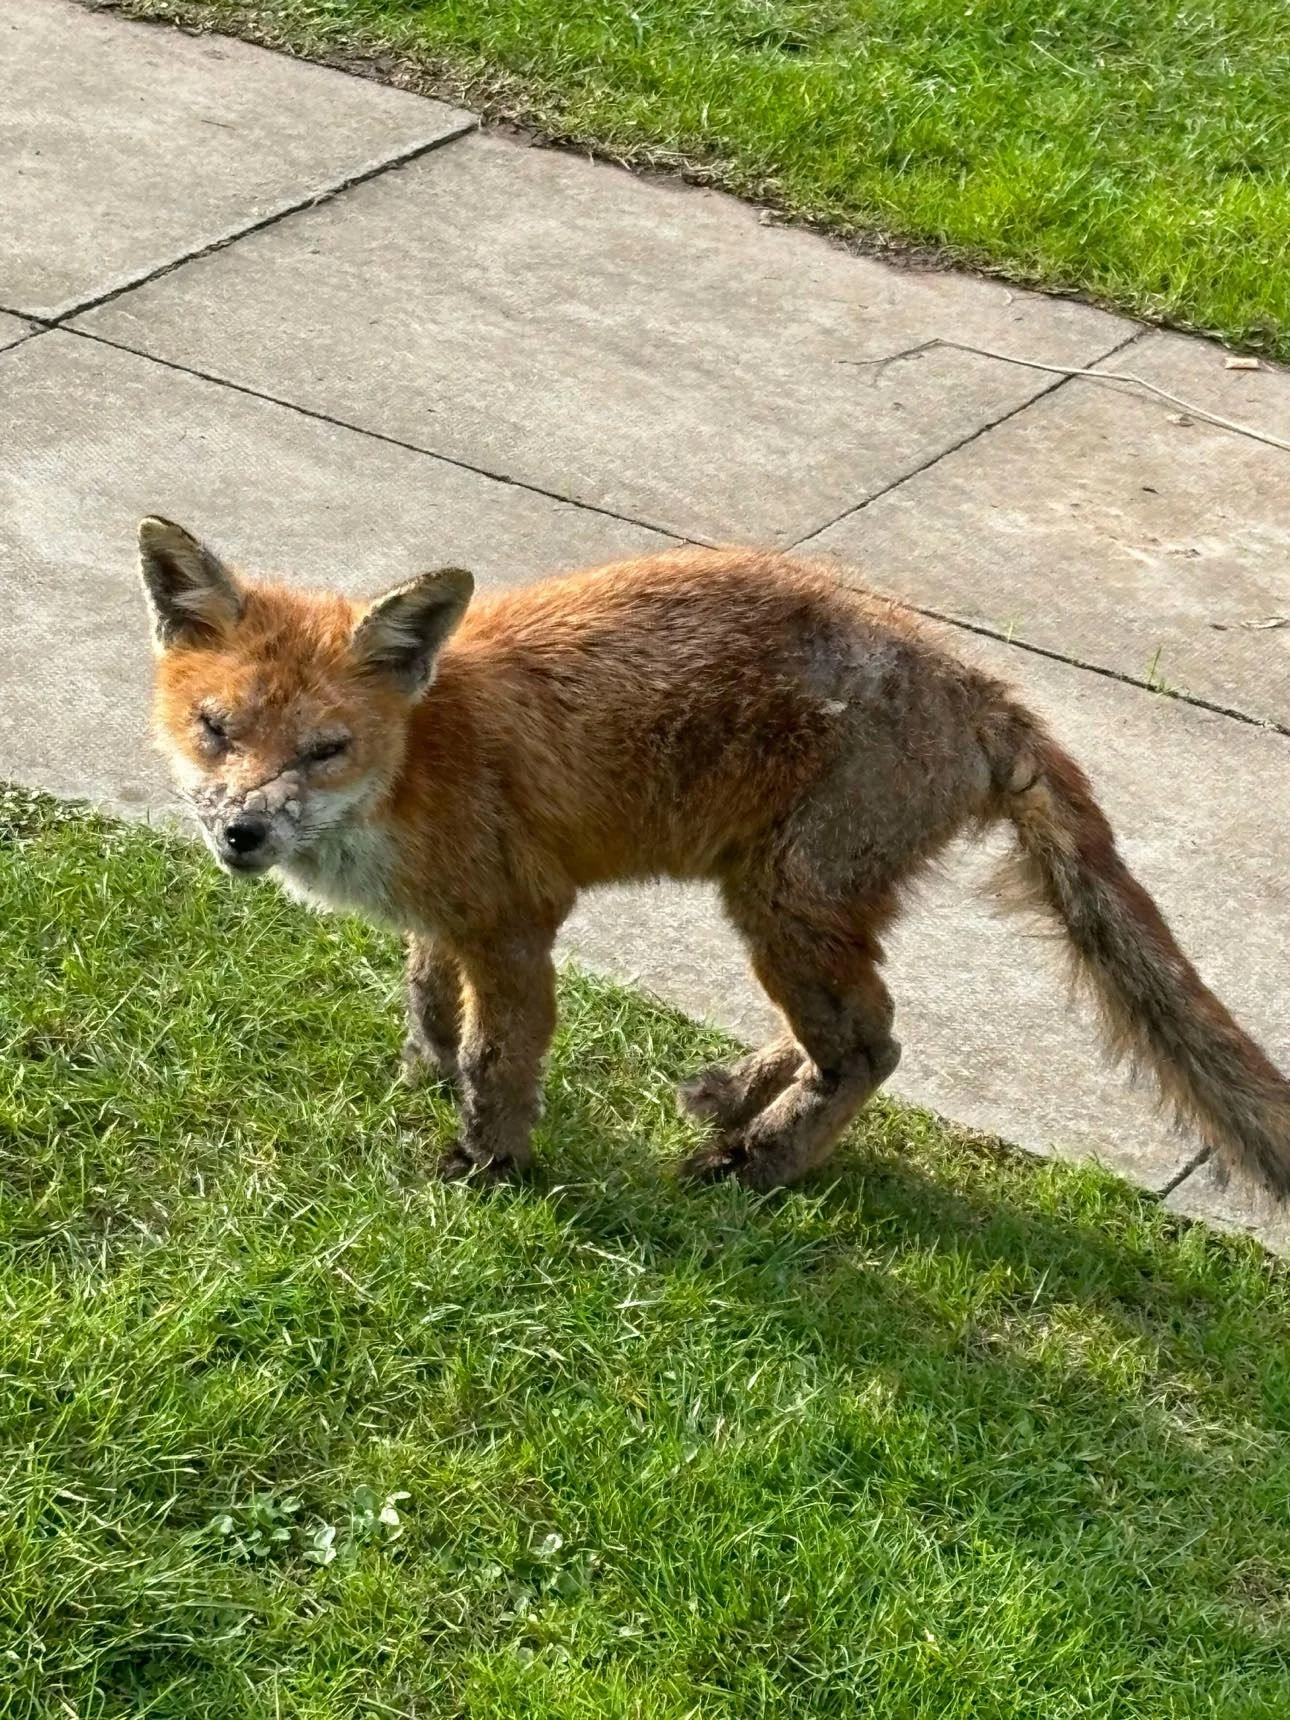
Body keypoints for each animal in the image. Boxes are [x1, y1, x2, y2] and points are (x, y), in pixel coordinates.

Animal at [137, 515, 1290, 1194]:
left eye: (324, 750)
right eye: (216, 729)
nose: (241, 831)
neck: (419, 760)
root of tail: (977, 687)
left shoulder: (516, 920)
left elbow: (500, 1055)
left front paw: (488, 1163)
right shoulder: (450, 915)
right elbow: (429, 999)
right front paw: (422, 1070)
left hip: (782, 904)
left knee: (874, 1046)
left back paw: (761, 1160)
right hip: (785, 906)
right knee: (853, 1027)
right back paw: (739, 1094)